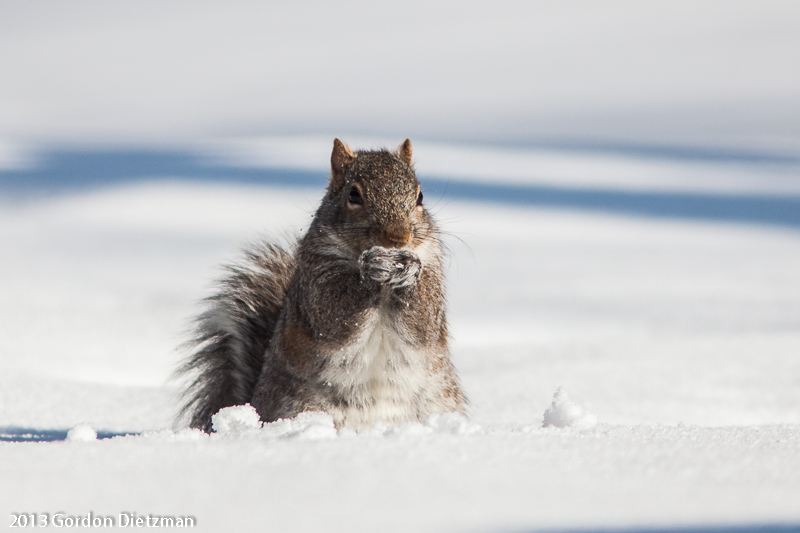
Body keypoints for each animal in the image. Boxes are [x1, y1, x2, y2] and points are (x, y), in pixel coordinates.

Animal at [177, 138, 467, 432]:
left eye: (420, 197)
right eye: (354, 195)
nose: (398, 237)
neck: (385, 288)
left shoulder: (432, 266)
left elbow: (424, 323)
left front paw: (408, 271)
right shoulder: (316, 276)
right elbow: (334, 316)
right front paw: (371, 269)